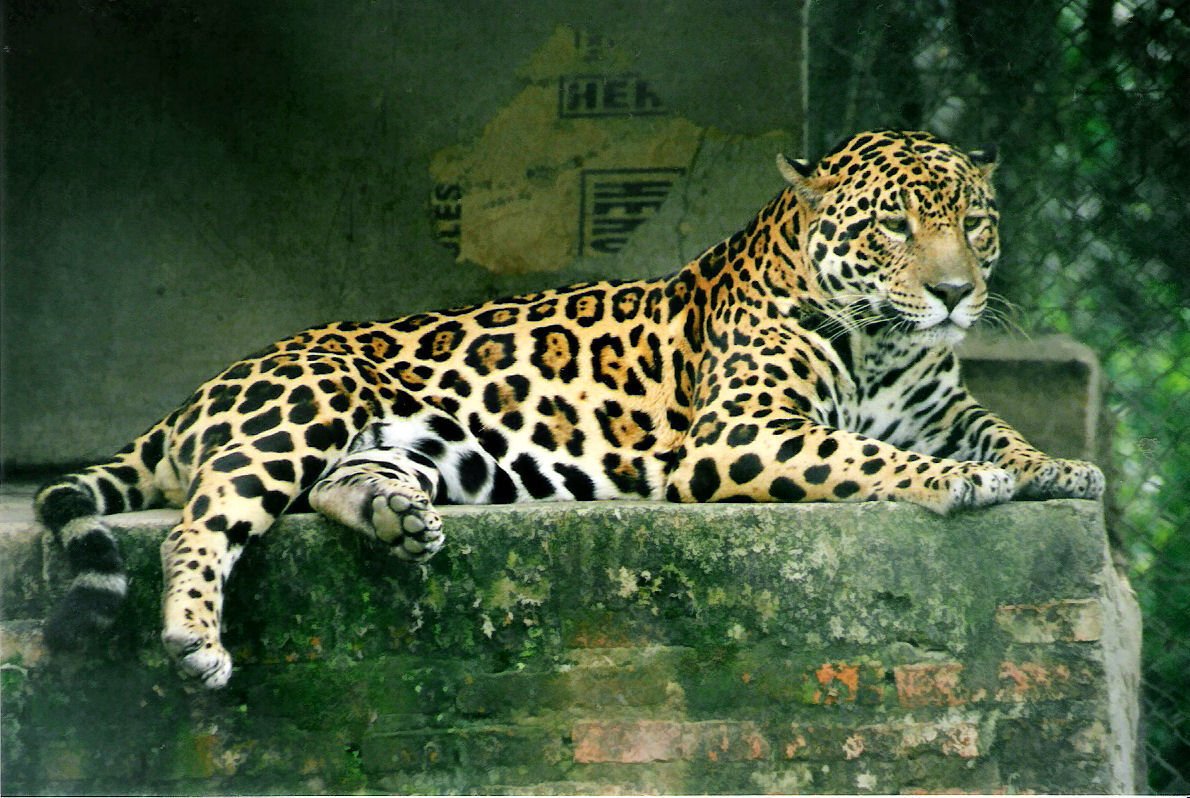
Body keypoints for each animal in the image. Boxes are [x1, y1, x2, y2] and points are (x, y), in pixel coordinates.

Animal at [35, 129, 1105, 689]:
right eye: (893, 228)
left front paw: (1059, 466)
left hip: (422, 445)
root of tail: (202, 391)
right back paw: (193, 639)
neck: (883, 344)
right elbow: (867, 457)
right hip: (307, 404)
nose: (958, 294)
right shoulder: (740, 436)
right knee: (199, 524)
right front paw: (965, 480)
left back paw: (397, 518)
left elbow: (998, 426)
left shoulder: (936, 401)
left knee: (340, 487)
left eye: (974, 224)